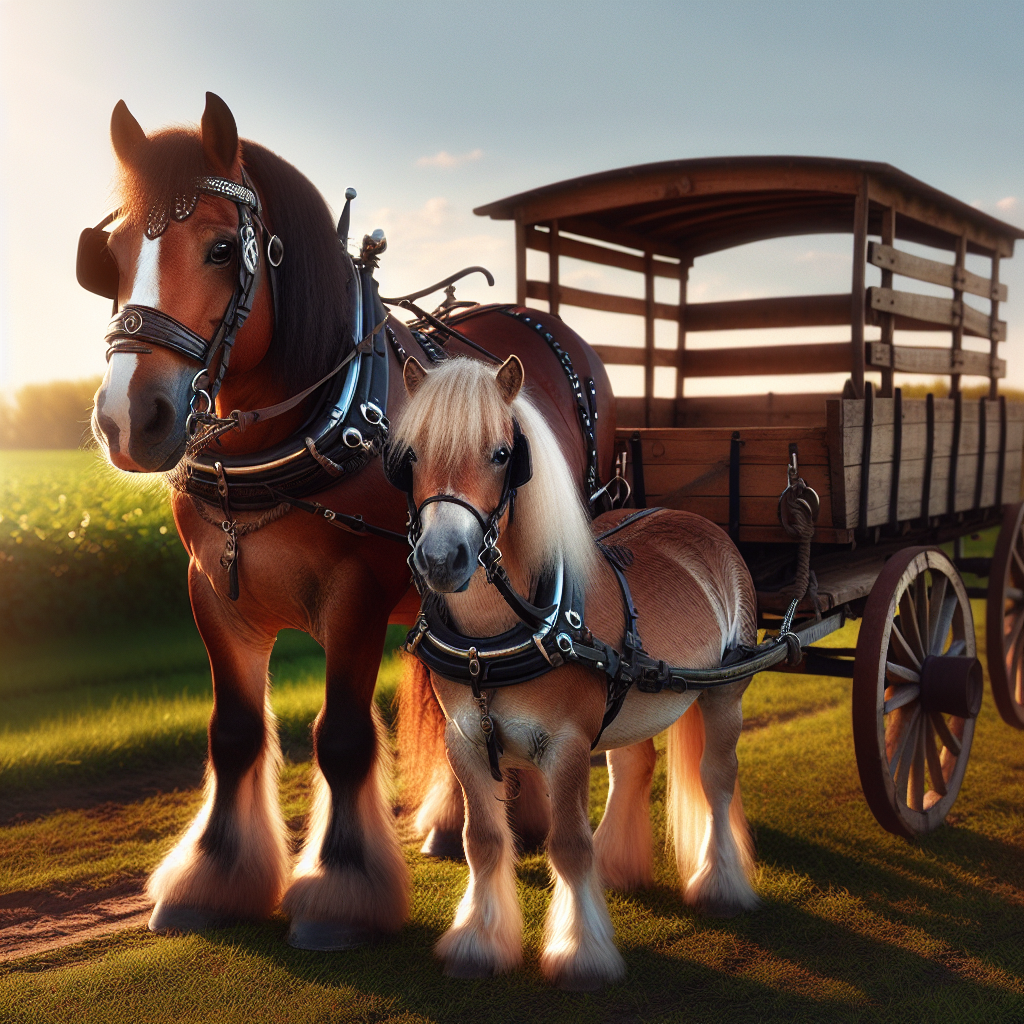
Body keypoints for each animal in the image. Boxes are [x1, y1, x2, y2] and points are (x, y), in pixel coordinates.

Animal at [81, 92, 616, 949]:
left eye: (223, 247)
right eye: (113, 251)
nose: (129, 419)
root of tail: (547, 324)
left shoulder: (357, 594)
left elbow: (341, 737)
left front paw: (338, 892)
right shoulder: (212, 593)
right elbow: (233, 733)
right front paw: (211, 879)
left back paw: (526, 817)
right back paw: (459, 820)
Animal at [390, 353, 759, 990]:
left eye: (501, 453)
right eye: (411, 455)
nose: (441, 560)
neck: (494, 639)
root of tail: (702, 522)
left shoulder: (564, 745)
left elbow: (567, 846)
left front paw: (581, 953)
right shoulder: (464, 739)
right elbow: (483, 840)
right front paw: (478, 942)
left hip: (724, 694)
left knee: (716, 780)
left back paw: (720, 884)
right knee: (634, 763)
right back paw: (619, 865)